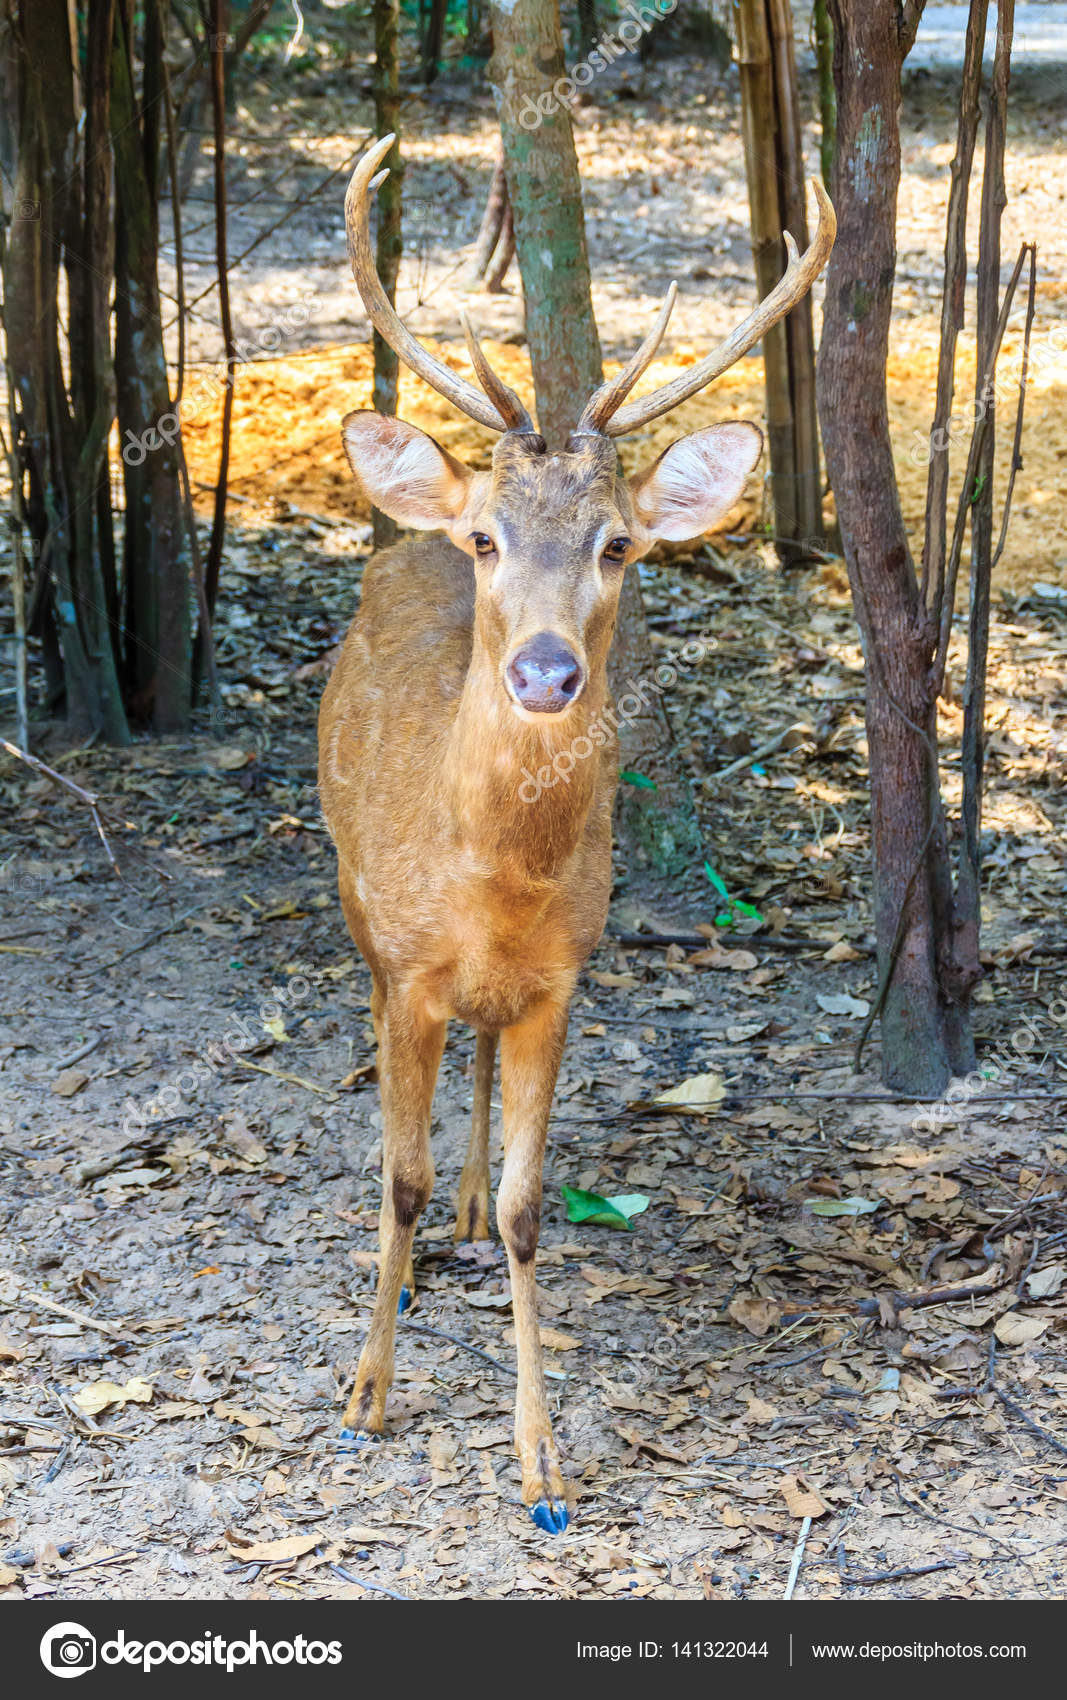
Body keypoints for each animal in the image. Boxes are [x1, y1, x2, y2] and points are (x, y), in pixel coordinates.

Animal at [318, 133, 834, 1534]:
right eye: (488, 536)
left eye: (616, 545)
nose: (544, 670)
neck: (489, 887)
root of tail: (395, 531)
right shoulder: (406, 967)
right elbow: (389, 1173)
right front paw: (366, 1395)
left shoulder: (563, 975)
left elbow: (527, 1204)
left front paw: (543, 1464)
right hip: (352, 907)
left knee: (481, 1091)